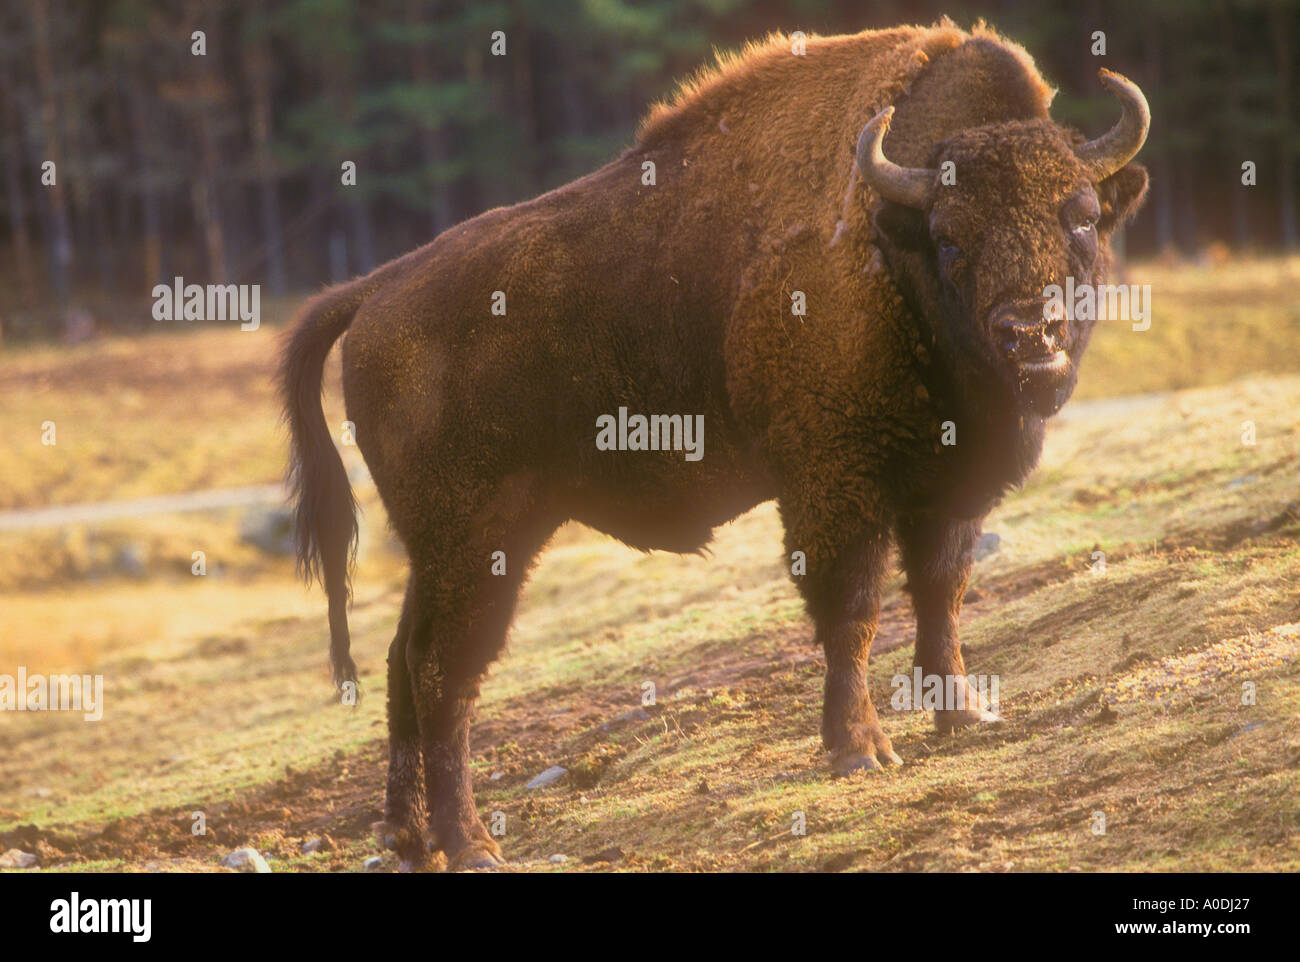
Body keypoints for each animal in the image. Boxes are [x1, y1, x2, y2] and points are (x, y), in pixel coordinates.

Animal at [281, 20, 1149, 870]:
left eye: (1079, 215)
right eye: (949, 237)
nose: (1032, 334)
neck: (887, 252)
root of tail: (375, 291)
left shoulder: (949, 489)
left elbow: (942, 593)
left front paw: (963, 716)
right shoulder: (834, 482)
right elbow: (853, 609)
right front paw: (859, 751)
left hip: (443, 550)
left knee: (403, 663)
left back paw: (408, 839)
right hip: (477, 544)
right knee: (443, 677)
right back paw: (471, 845)